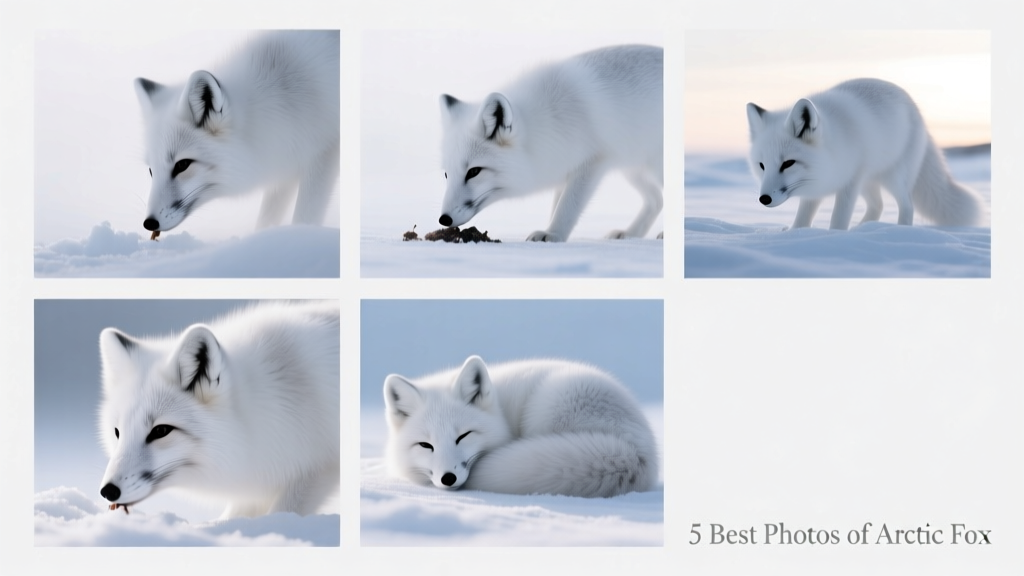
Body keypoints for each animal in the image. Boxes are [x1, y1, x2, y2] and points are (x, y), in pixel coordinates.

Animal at [134, 30, 340, 233]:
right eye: (151, 170)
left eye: (182, 165)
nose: (149, 223)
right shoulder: (285, 162)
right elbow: (267, 219)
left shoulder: (322, 153)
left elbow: (305, 217)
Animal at [383, 356, 658, 497]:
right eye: (425, 445)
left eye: (463, 436)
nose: (448, 478)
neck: (501, 413)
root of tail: (636, 454)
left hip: (548, 407)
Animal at [438, 45, 664, 242]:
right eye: (446, 174)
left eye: (474, 172)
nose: (444, 219)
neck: (544, 121)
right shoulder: (564, 166)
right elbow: (557, 205)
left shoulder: (591, 163)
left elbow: (567, 206)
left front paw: (553, 234)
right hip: (633, 170)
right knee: (657, 201)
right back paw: (630, 233)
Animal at [746, 78, 984, 230]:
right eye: (762, 165)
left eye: (788, 163)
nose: (764, 199)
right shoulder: (815, 190)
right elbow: (802, 221)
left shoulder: (850, 183)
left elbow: (838, 220)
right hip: (869, 183)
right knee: (878, 206)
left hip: (892, 178)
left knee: (907, 206)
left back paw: (899, 233)